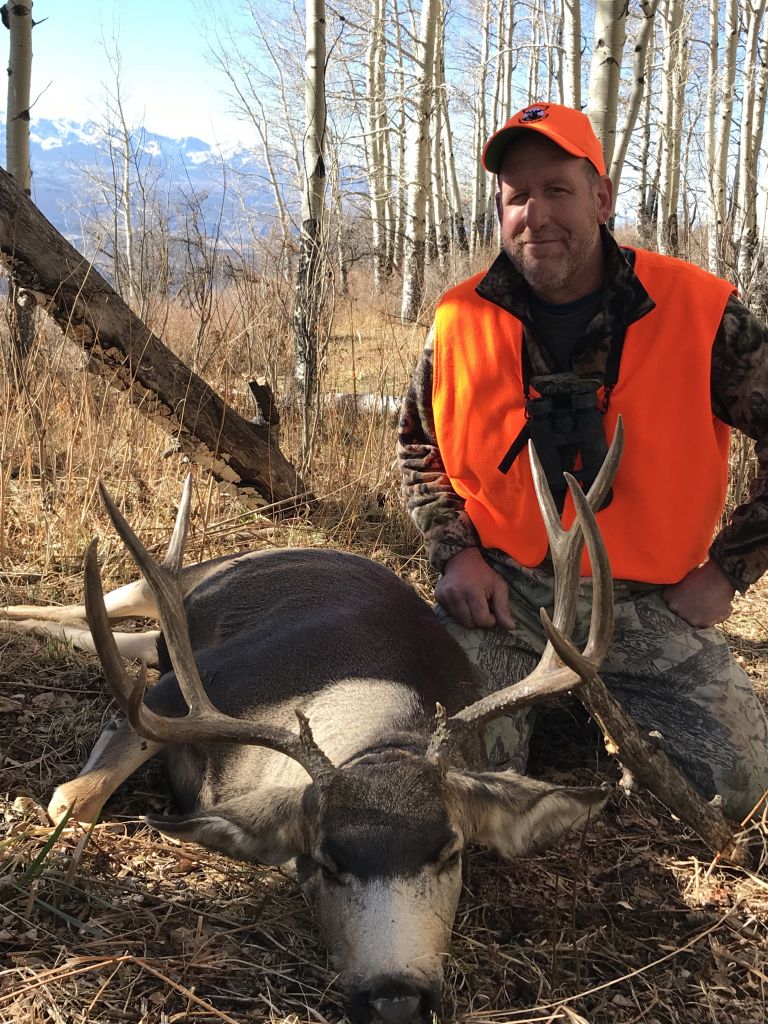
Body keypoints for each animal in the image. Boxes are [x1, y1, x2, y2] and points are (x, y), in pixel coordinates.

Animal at [1, 428, 622, 1024]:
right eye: (327, 862)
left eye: (450, 853)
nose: (396, 1000)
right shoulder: (188, 683)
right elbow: (74, 796)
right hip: (184, 581)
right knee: (98, 606)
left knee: (105, 630)